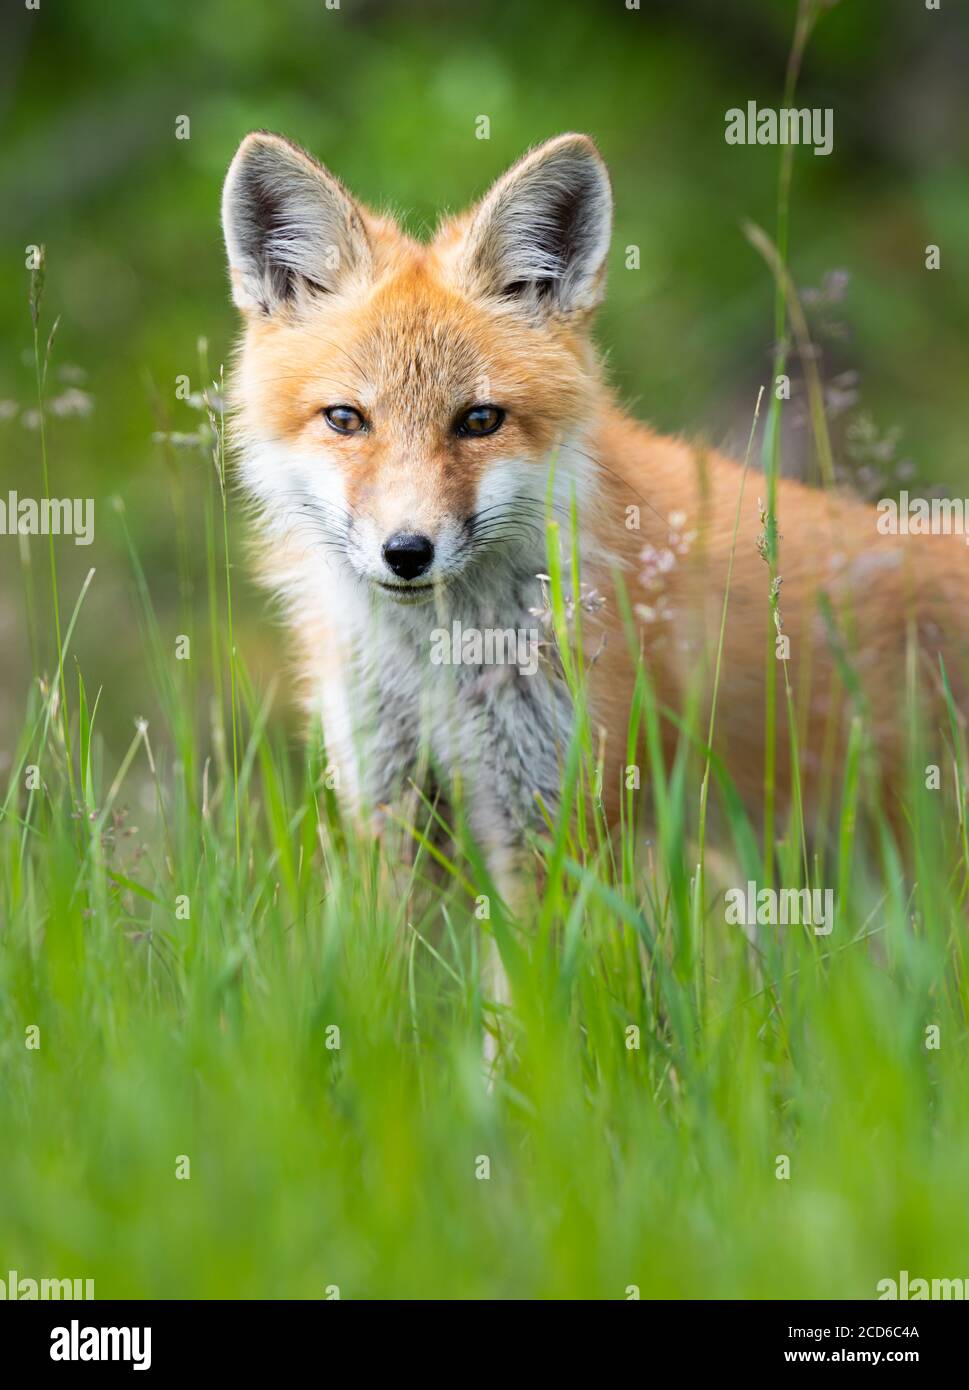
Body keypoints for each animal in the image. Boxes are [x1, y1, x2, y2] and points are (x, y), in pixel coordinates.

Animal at [220, 130, 967, 1015]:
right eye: (345, 419)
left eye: (478, 421)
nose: (406, 551)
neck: (439, 666)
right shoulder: (388, 813)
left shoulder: (552, 825)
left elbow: (525, 1024)